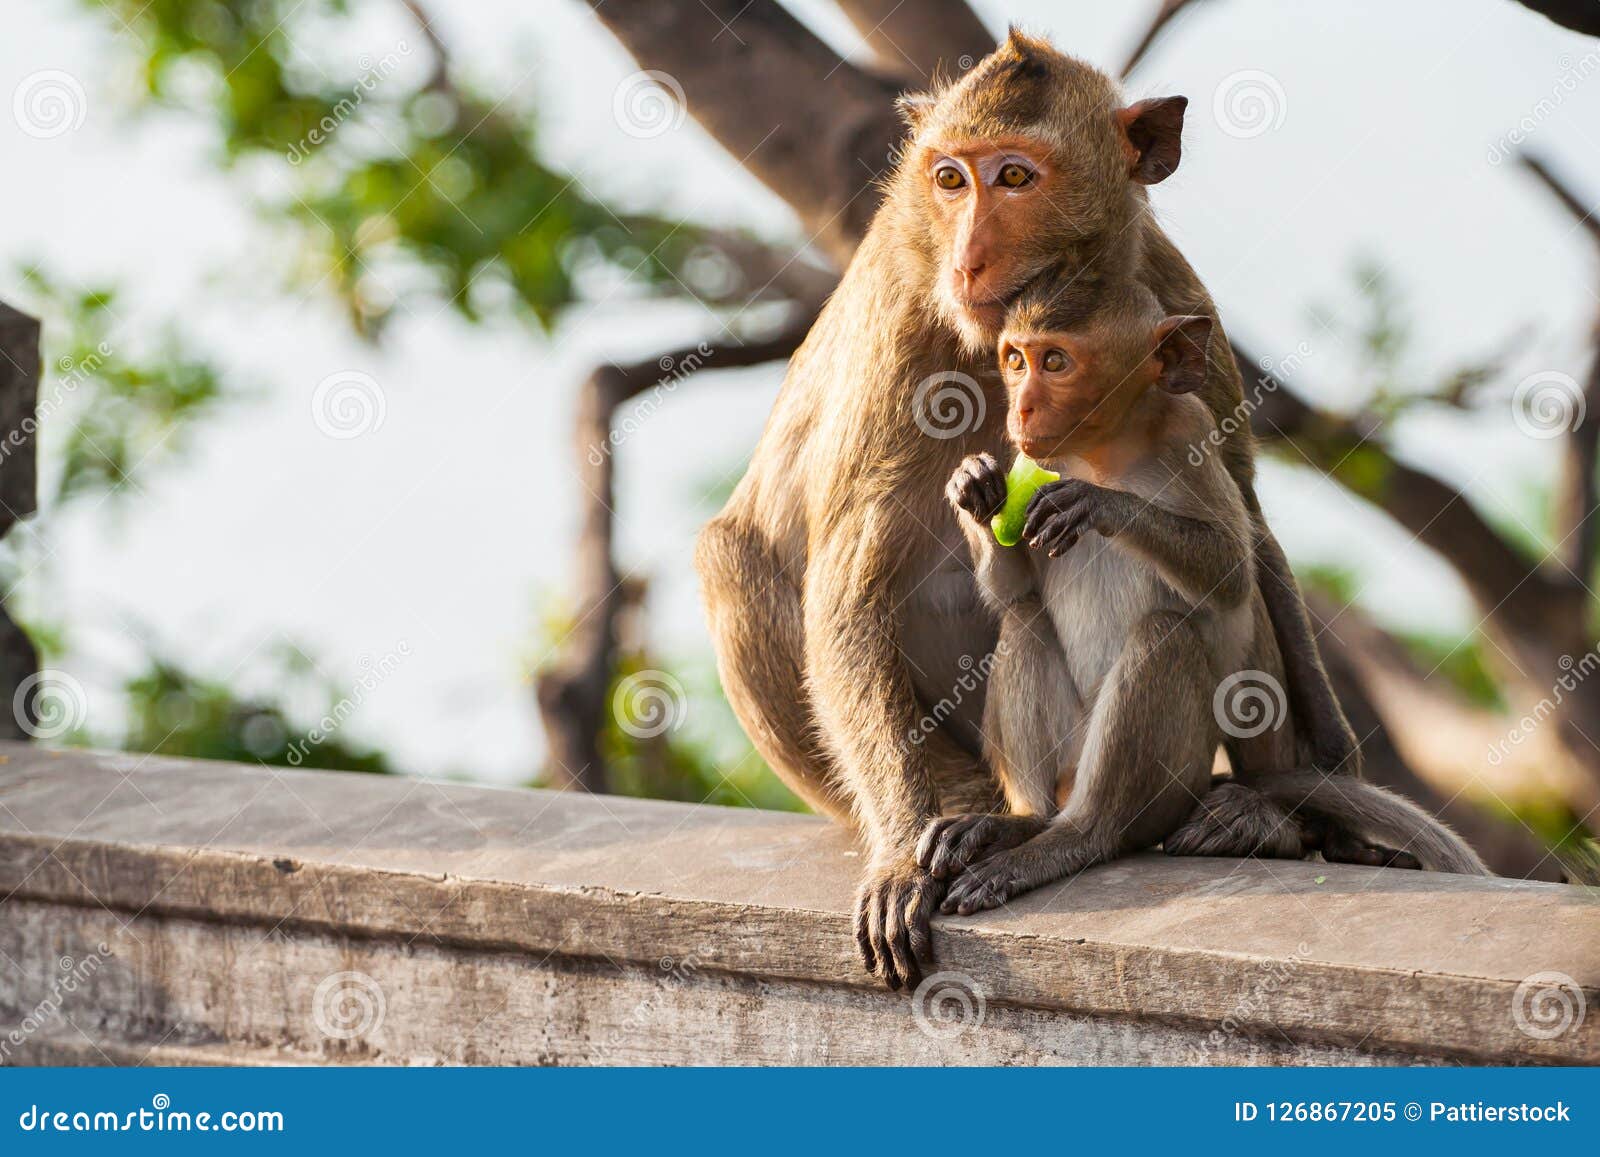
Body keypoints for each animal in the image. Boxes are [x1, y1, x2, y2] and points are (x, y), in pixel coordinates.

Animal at [695, 30, 1361, 991]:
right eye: (950, 179)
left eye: (1015, 177)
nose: (968, 258)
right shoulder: (903, 321)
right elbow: (852, 585)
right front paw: (901, 857)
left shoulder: (1170, 288)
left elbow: (1244, 525)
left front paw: (1330, 784)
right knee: (734, 556)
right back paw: (981, 818)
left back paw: (1254, 816)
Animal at [918, 278, 1490, 914]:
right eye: (1015, 360)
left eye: (1056, 362)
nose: (1020, 408)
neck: (1104, 449)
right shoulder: (1033, 458)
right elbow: (1013, 588)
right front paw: (974, 486)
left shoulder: (1189, 429)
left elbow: (1233, 573)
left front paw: (1102, 505)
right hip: (1072, 755)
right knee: (1023, 620)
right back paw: (1022, 822)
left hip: (1178, 776)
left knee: (1165, 635)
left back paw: (1078, 838)